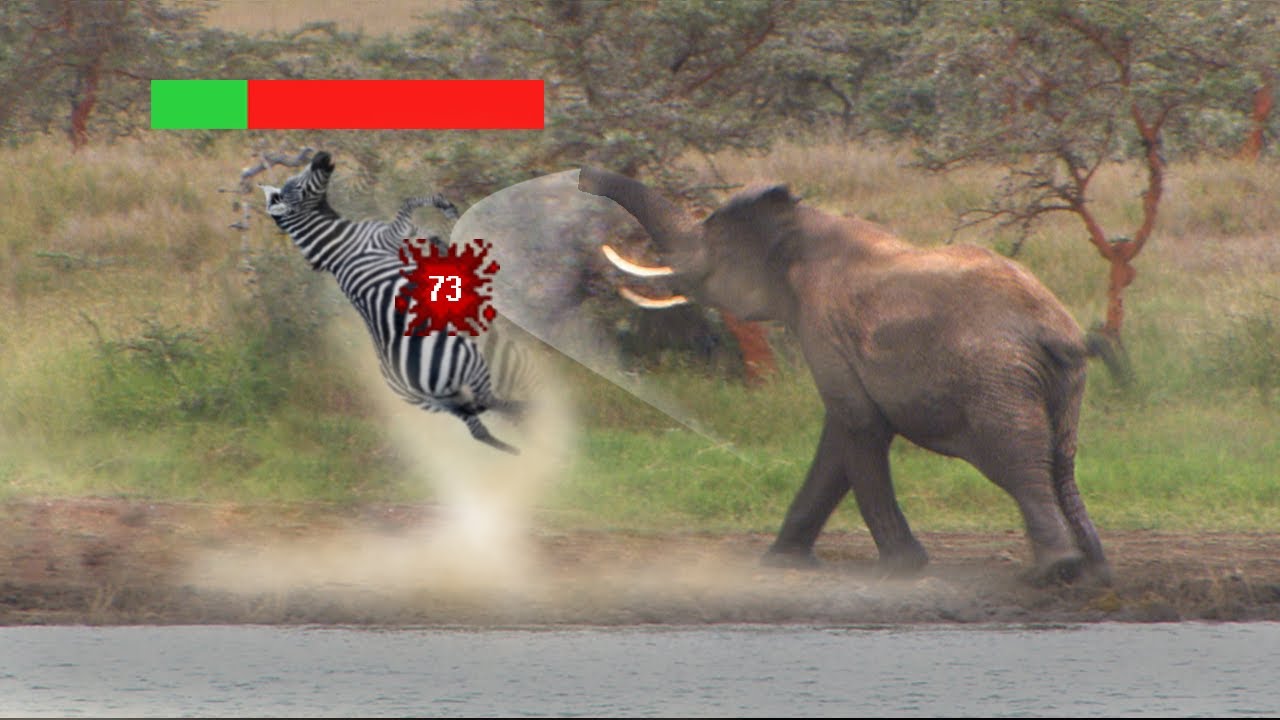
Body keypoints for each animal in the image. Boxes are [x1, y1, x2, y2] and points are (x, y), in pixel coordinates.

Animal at [578, 167, 1112, 586]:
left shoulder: (823, 326)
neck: (803, 223)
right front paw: (779, 563)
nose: (581, 177)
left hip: (996, 376)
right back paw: (1095, 571)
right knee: (1061, 461)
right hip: (1062, 382)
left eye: (713, 246)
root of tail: (1054, 330)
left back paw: (1053, 571)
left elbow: (856, 425)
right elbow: (839, 439)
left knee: (1018, 459)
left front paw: (902, 569)